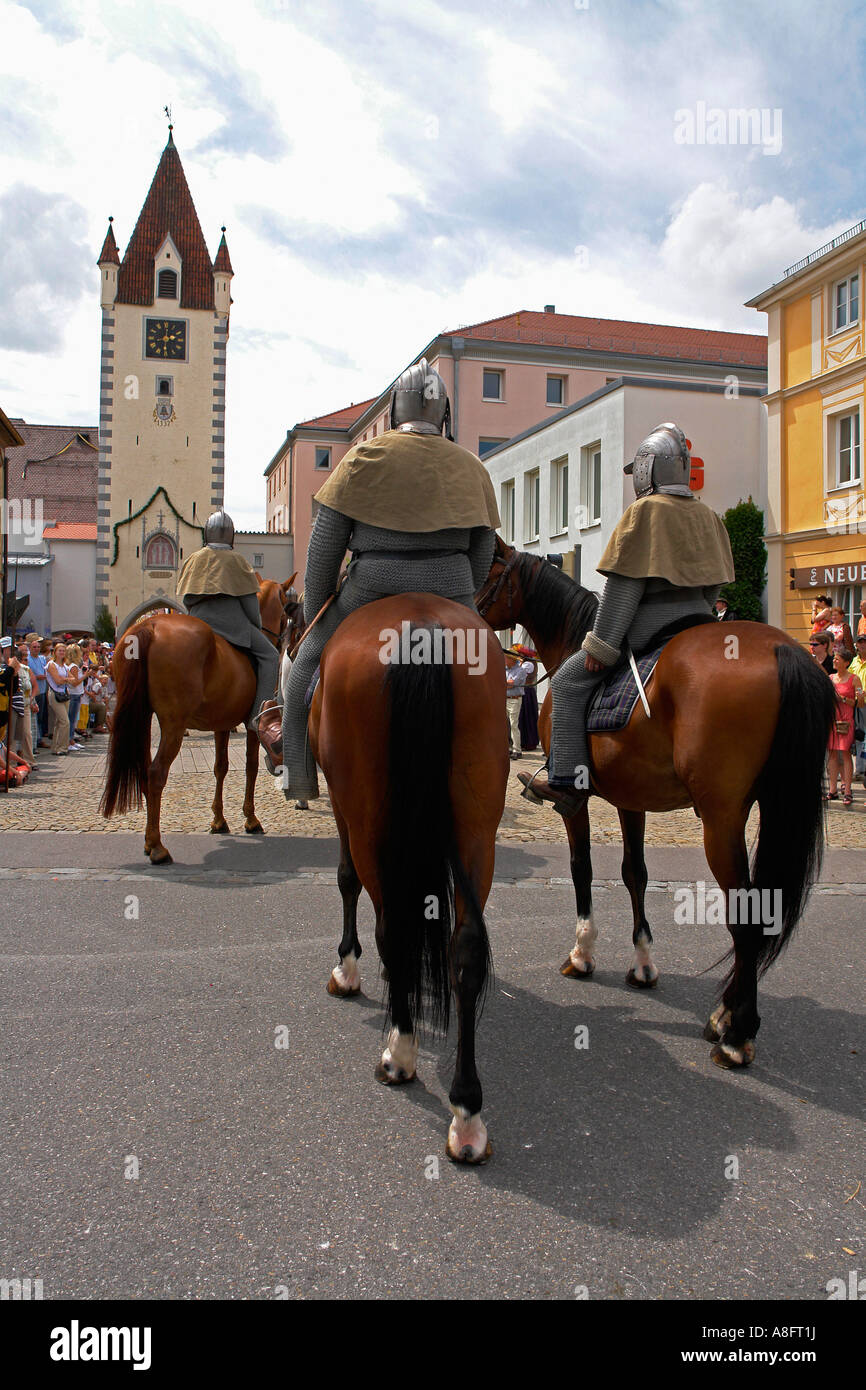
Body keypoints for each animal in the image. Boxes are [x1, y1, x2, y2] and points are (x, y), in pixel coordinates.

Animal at [100, 576, 295, 864]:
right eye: (284, 605)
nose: (285, 644)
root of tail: (150, 625)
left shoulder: (223, 724)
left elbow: (220, 767)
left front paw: (219, 820)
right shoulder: (251, 725)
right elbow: (251, 767)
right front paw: (251, 819)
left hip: (142, 719)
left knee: (145, 771)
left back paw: (149, 841)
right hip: (173, 725)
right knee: (156, 773)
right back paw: (157, 847)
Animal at [308, 595, 508, 1162]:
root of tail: (421, 623)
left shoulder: (342, 810)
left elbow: (346, 881)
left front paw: (348, 968)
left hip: (367, 818)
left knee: (390, 924)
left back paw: (400, 1052)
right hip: (477, 826)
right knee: (466, 949)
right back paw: (467, 1112)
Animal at [477, 537, 836, 1069]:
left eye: (489, 575)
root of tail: (781, 650)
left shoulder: (576, 801)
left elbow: (582, 869)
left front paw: (583, 954)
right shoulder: (632, 799)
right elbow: (635, 874)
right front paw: (643, 964)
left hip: (722, 819)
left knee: (746, 915)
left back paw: (735, 1034)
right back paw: (726, 1017)